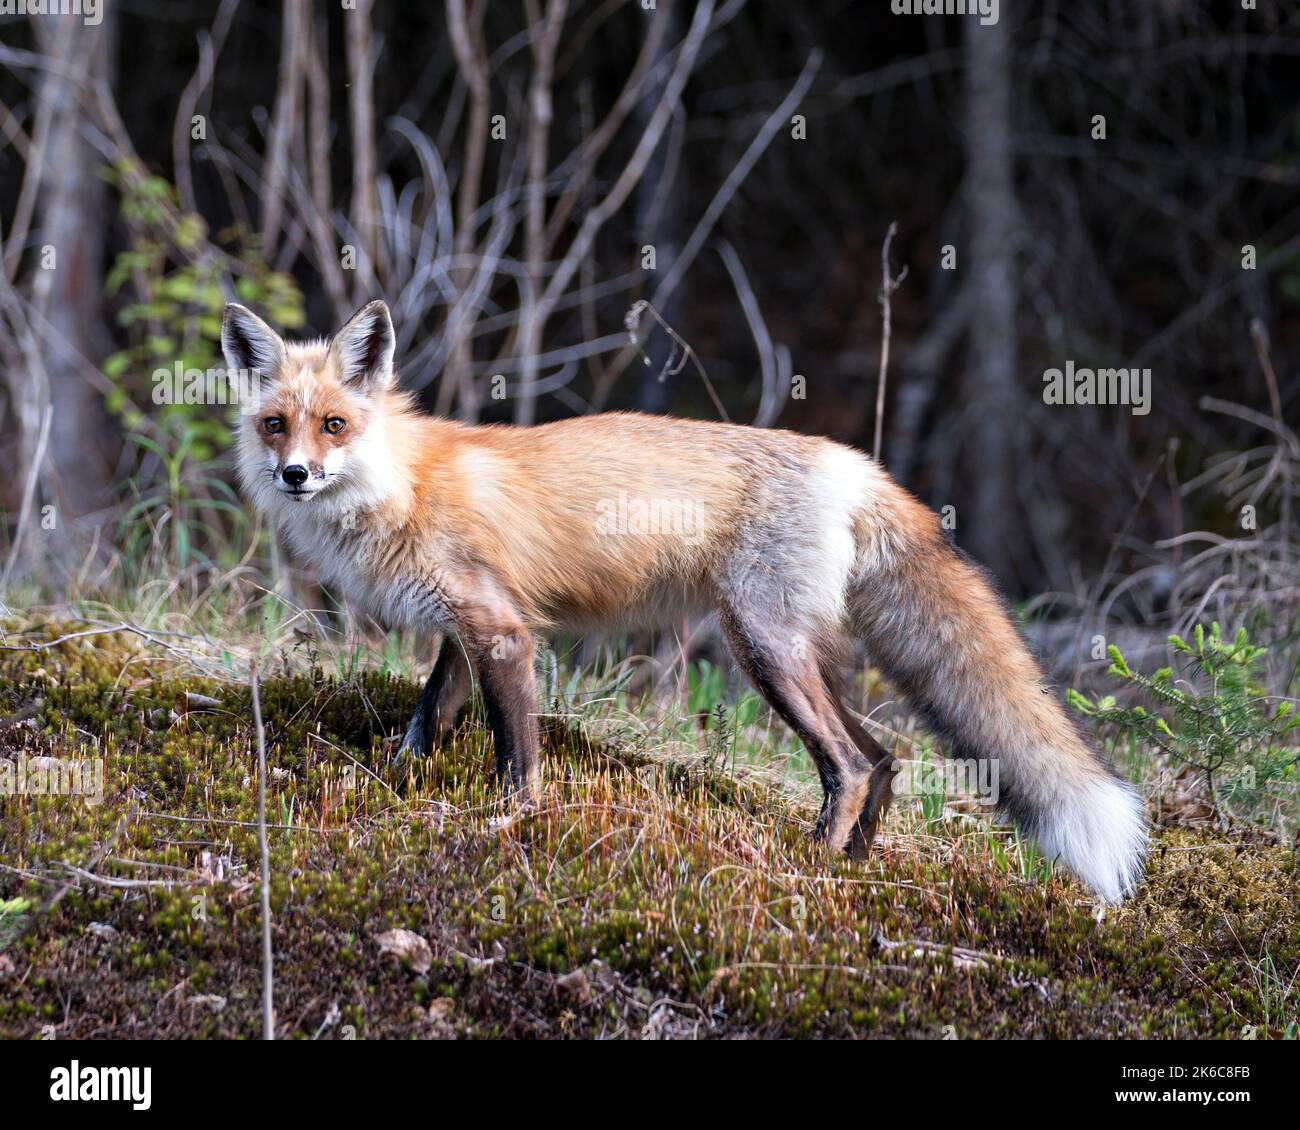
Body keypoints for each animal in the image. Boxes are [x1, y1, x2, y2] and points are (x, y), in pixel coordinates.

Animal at [223, 298, 1148, 903]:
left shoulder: (505, 634)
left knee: (849, 765)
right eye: (276, 425)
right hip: (798, 649)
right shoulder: (464, 632)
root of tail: (853, 462)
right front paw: (396, 791)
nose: (294, 474)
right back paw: (853, 870)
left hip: (760, 643)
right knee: (885, 758)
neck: (400, 483)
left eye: (334, 425)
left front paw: (509, 828)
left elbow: (517, 761)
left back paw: (811, 866)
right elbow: (423, 726)